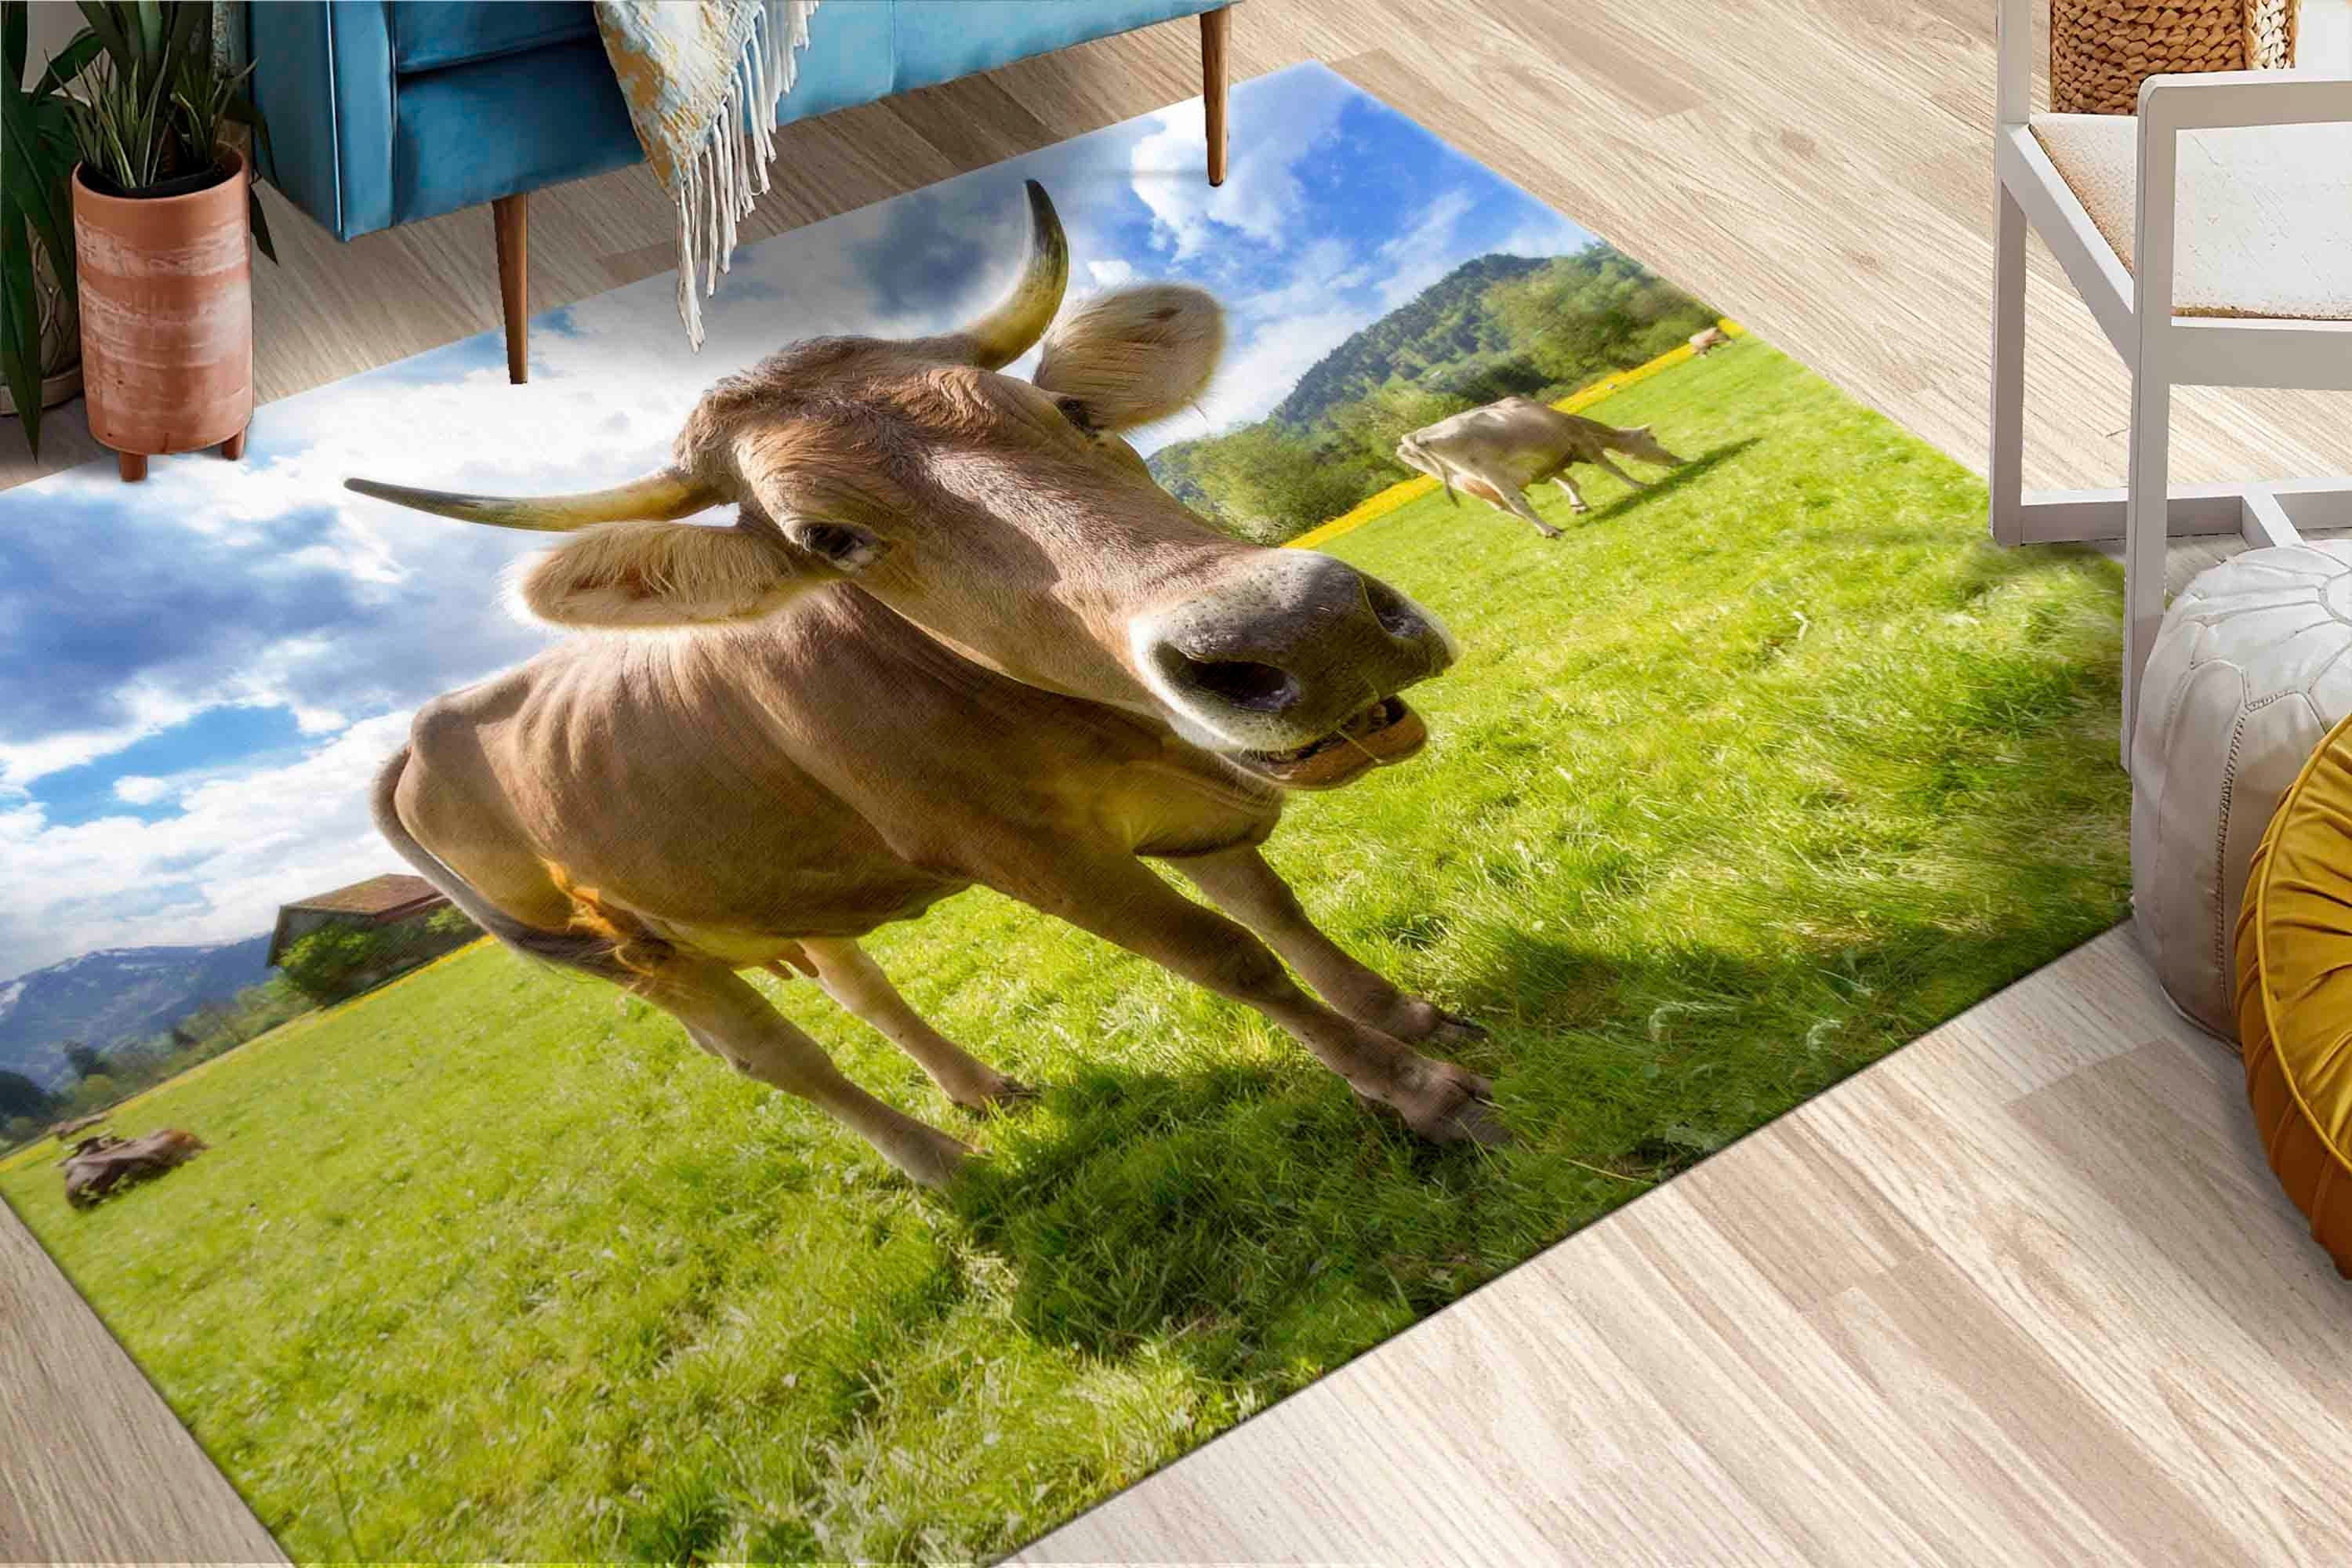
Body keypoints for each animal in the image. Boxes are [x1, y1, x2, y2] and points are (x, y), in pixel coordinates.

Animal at [347, 183, 1500, 1191]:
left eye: (1070, 408)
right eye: (830, 539)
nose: (1301, 628)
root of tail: (422, 730)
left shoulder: (1187, 776)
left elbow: (1273, 907)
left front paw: (1403, 1015)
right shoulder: (1029, 855)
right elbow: (1229, 956)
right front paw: (1421, 1091)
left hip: (776, 887)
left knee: (864, 992)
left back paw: (984, 1092)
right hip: (642, 957)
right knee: (776, 1058)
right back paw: (949, 1167)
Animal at [1395, 397, 1689, 538]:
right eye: (1653, 439)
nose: (1680, 461)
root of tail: (1416, 435)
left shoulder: (1551, 462)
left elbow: (1569, 482)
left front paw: (1578, 504)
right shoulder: (1582, 440)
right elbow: (1612, 467)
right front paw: (1639, 485)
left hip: (1472, 486)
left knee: (1506, 509)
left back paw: (1542, 528)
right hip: (1492, 474)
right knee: (1517, 503)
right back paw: (1550, 531)